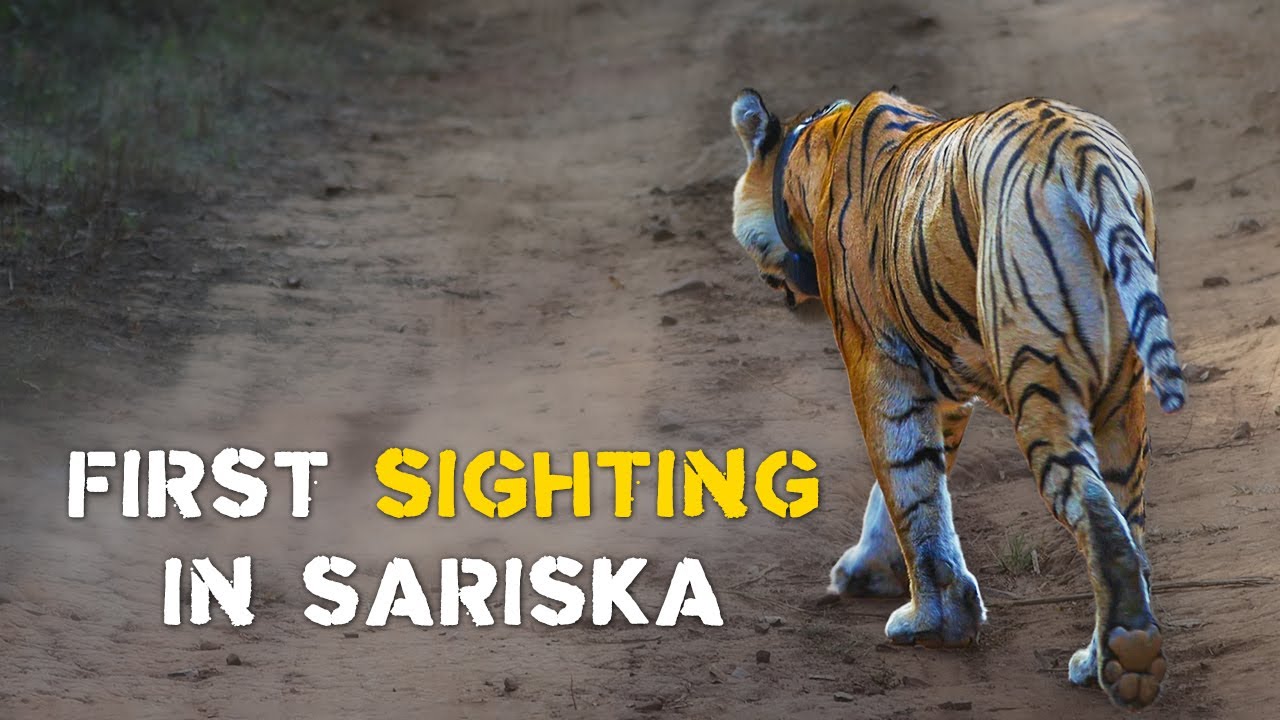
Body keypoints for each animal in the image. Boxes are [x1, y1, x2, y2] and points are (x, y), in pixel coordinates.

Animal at [728, 88, 1186, 710]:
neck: (810, 153)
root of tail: (1077, 147)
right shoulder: (940, 387)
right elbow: (912, 490)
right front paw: (874, 571)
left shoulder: (878, 363)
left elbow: (909, 488)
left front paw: (934, 620)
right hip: (1121, 399)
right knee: (1128, 521)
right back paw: (1103, 656)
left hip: (1039, 380)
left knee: (1096, 511)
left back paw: (1128, 658)